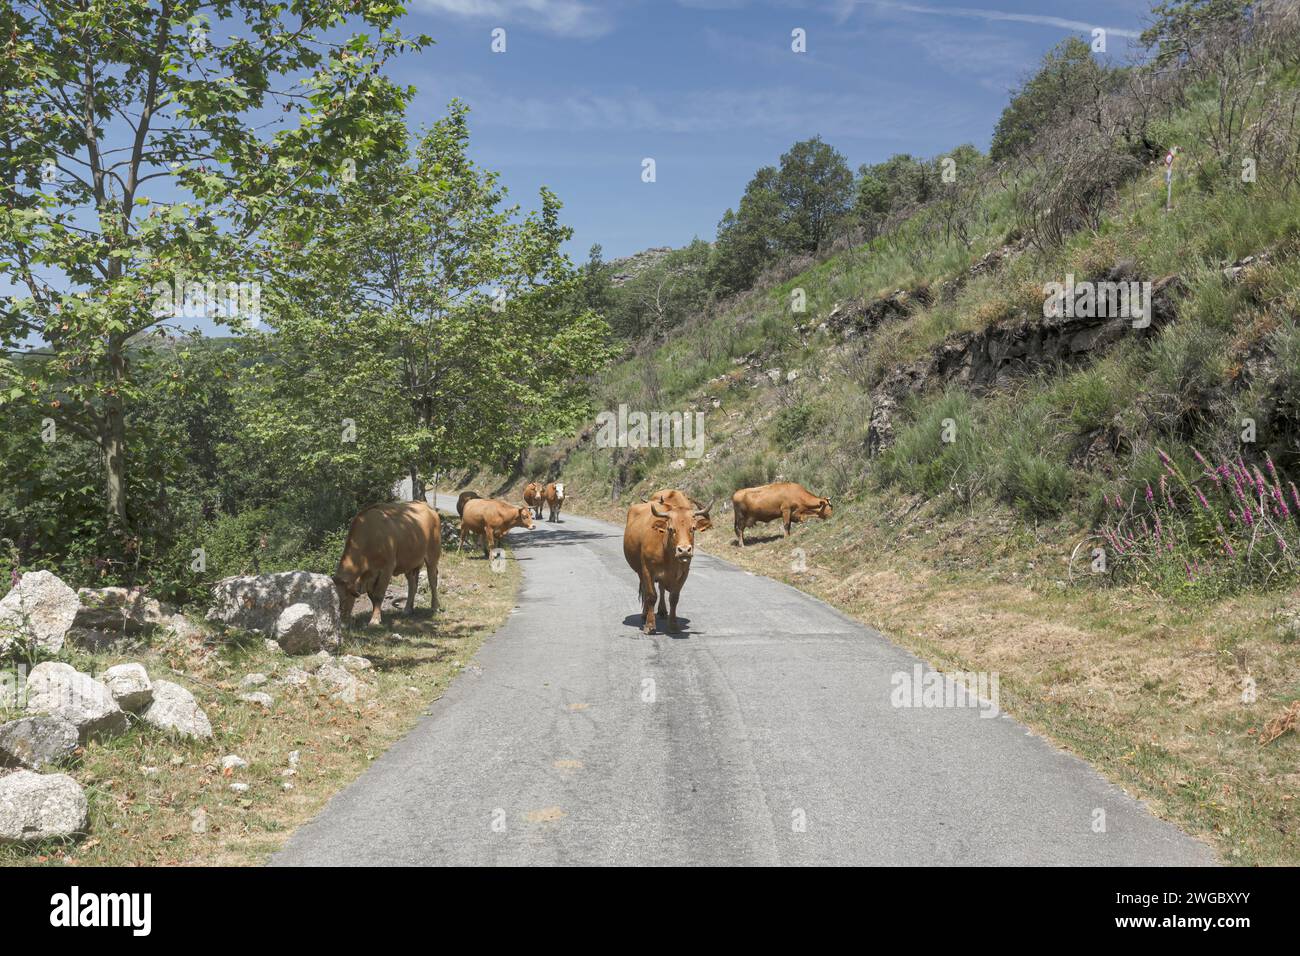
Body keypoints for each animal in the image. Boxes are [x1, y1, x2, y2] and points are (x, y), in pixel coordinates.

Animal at [622, 497, 713, 635]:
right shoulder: (647, 570)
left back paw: (662, 611)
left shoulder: (683, 573)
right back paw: (645, 614)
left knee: (661, 588)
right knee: (646, 590)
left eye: (693, 528)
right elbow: (651, 596)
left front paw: (673, 625)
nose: (684, 550)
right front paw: (650, 625)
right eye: (671, 529)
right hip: (640, 571)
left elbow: (674, 598)